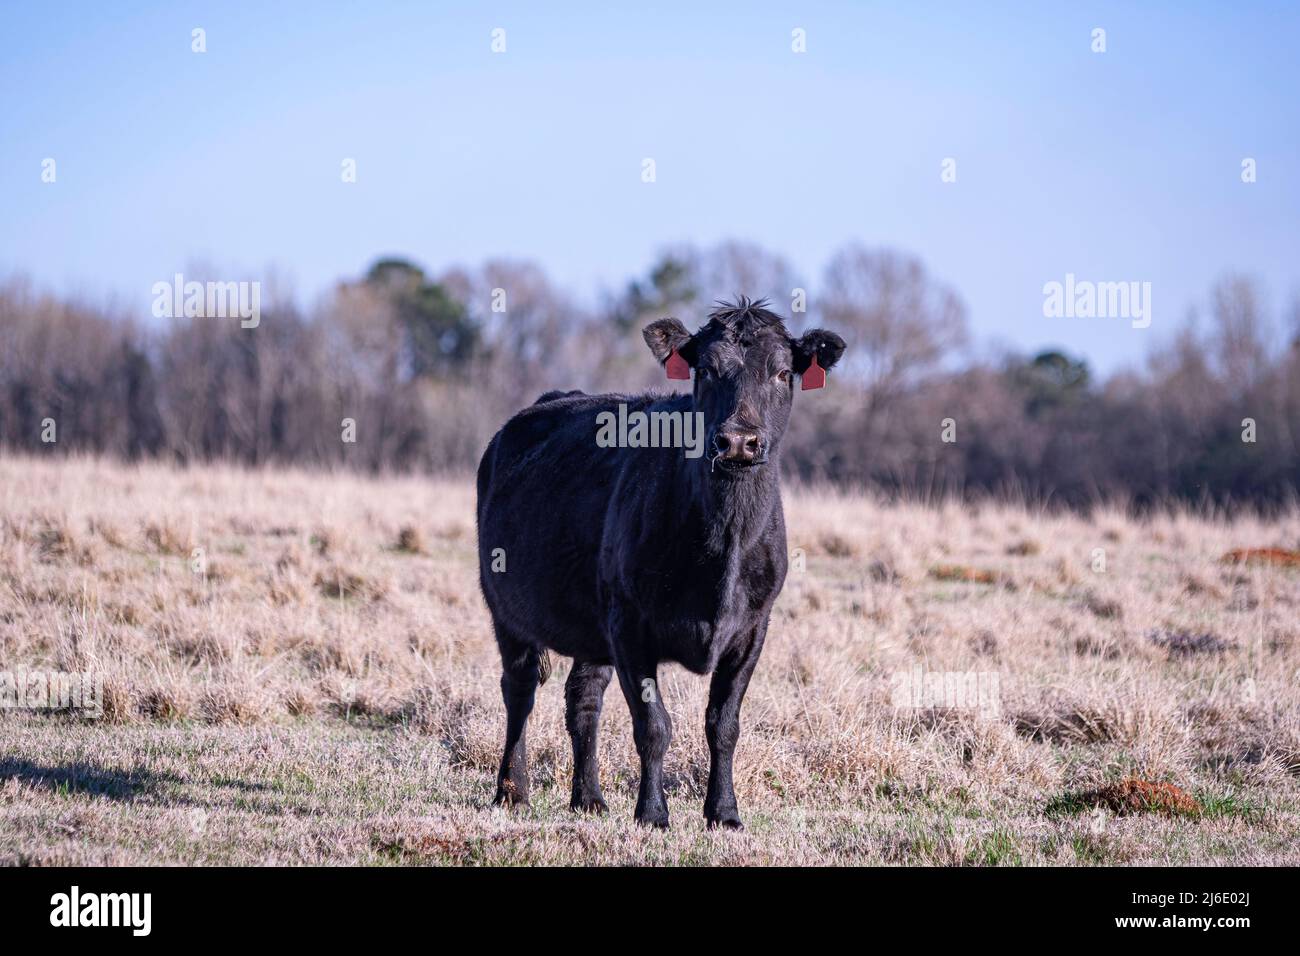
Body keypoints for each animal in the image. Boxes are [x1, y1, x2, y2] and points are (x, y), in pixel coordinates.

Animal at [475, 297, 846, 829]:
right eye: (706, 371)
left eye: (781, 373)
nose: (738, 441)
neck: (723, 545)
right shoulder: (630, 623)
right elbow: (653, 725)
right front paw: (652, 814)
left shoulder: (753, 627)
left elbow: (723, 724)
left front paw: (724, 813)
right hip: (505, 608)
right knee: (520, 689)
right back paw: (512, 791)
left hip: (591, 629)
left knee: (583, 698)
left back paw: (588, 798)